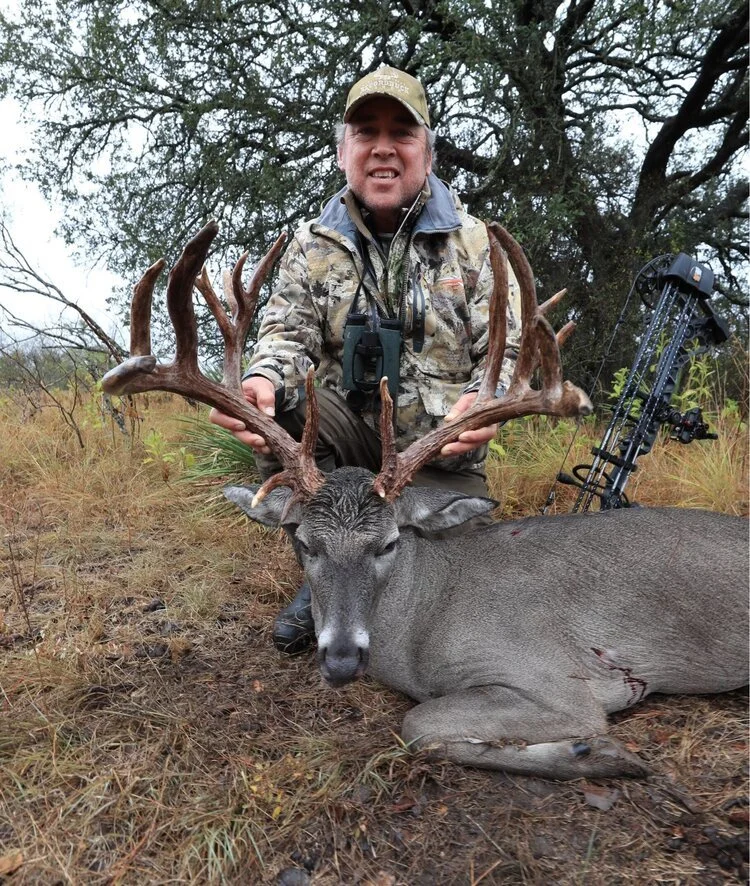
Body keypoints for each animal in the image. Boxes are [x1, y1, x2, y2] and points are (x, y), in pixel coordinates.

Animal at [103, 220, 748, 780]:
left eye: (389, 542)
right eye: (301, 541)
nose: (340, 660)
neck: (425, 623)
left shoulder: (563, 680)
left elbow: (418, 724)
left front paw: (596, 752)